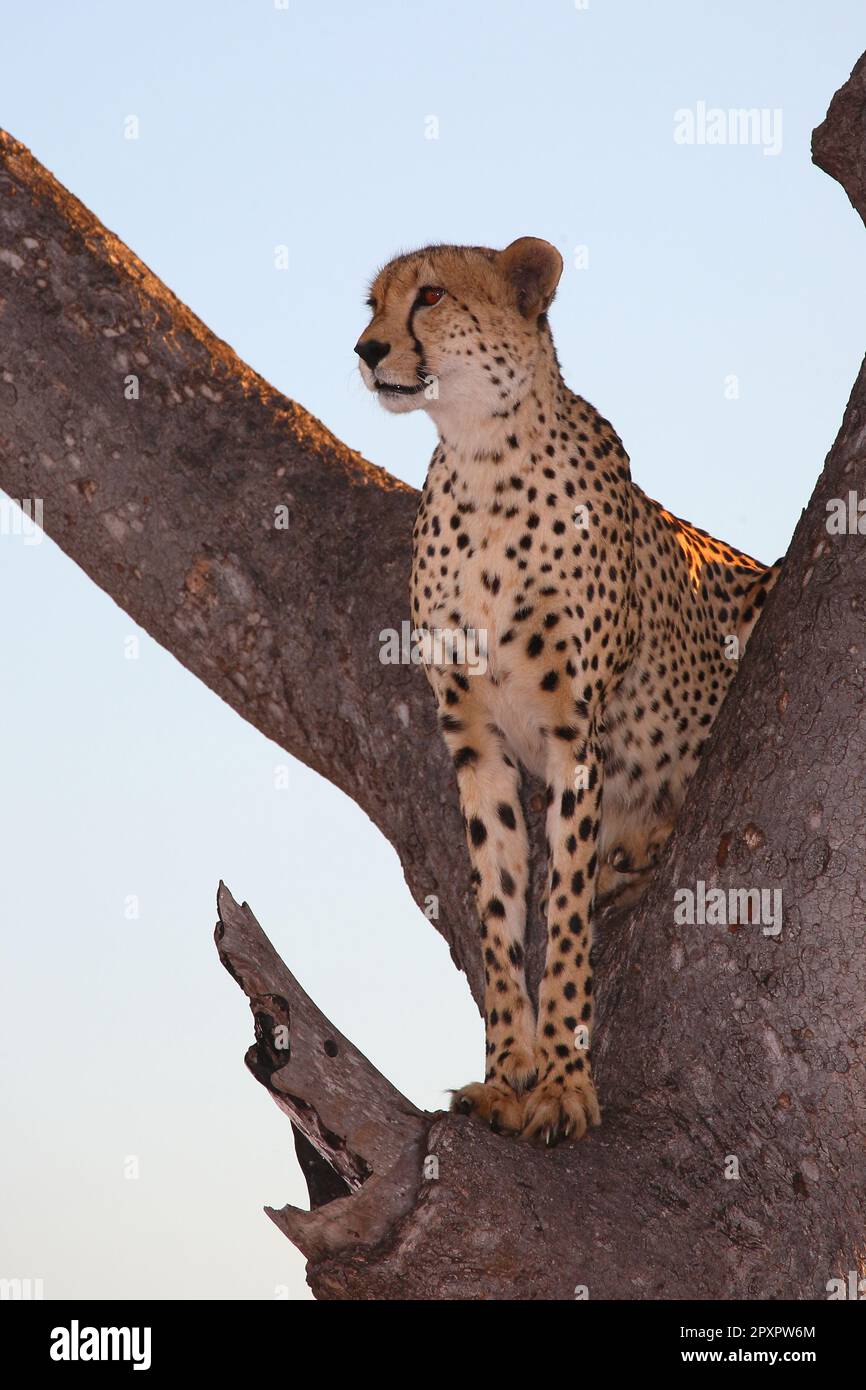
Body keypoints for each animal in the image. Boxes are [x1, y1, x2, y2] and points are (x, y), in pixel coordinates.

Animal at [355, 237, 780, 1144]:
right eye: (373, 303)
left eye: (430, 296)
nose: (366, 350)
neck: (482, 458)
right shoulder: (475, 743)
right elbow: (500, 910)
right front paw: (504, 1073)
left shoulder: (573, 737)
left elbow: (565, 918)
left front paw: (561, 1081)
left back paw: (637, 853)